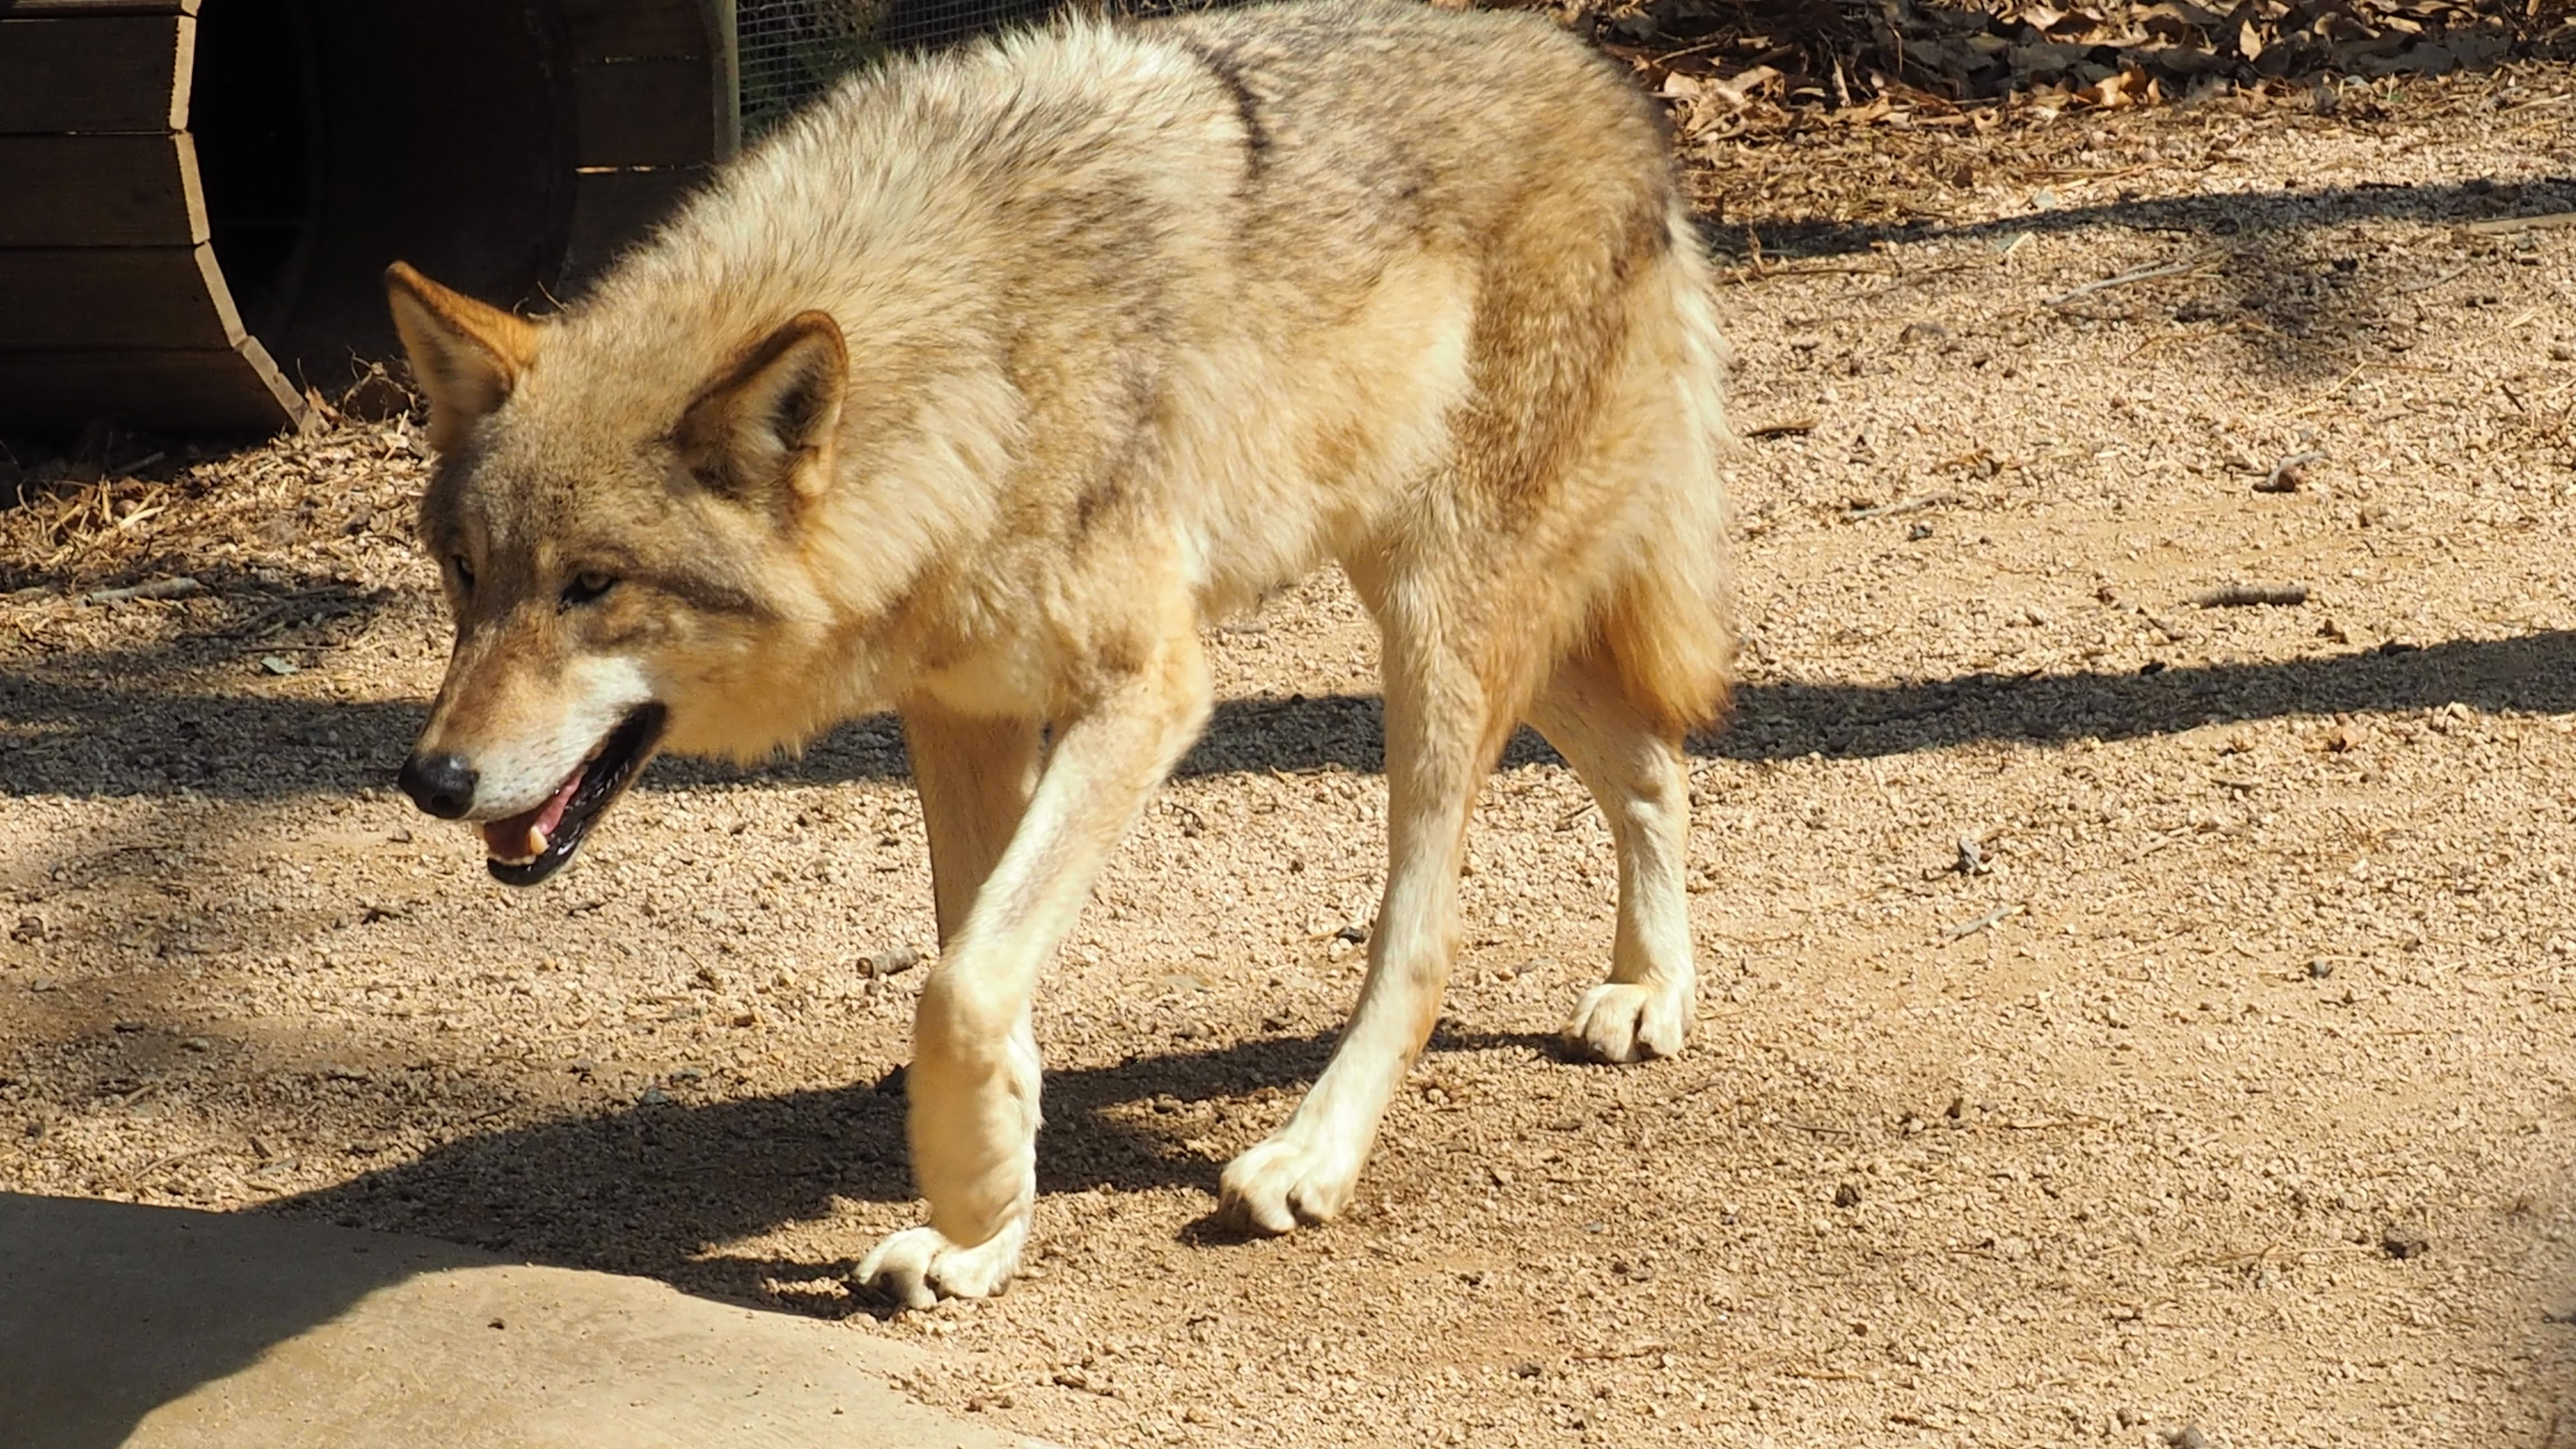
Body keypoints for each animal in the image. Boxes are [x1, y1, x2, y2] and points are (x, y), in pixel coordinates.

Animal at [381, 0, 1731, 1304]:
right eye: (465, 571)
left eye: (591, 587)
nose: (432, 780)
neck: (977, 370)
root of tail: (1612, 85)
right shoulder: (957, 711)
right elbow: (974, 963)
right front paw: (983, 1224)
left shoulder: (1147, 694)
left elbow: (960, 987)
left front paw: (975, 1193)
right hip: (1454, 609)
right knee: (1654, 758)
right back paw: (1652, 990)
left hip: (1432, 624)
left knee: (1425, 935)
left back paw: (1313, 1157)